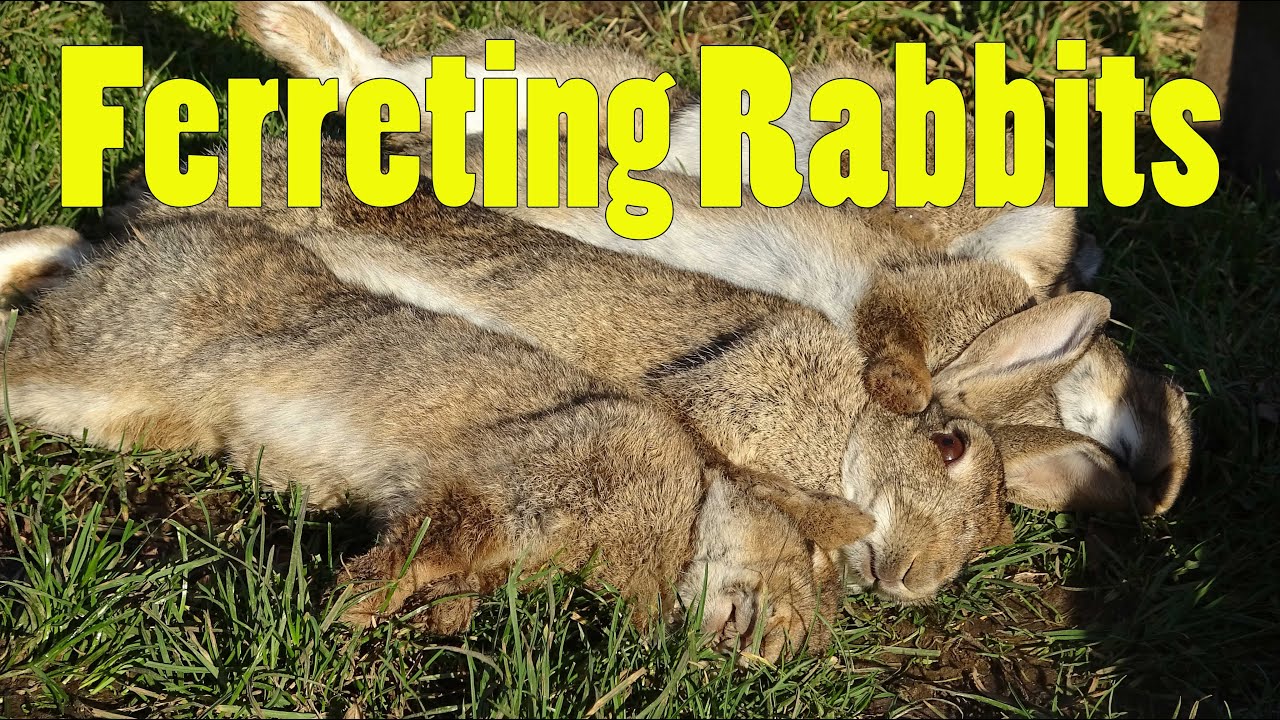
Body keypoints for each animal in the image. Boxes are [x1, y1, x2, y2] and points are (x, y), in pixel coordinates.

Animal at [0, 223, 886, 663]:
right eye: (802, 560)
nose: (776, 655)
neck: (686, 513)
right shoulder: (529, 479)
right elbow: (431, 538)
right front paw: (350, 608)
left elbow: (450, 580)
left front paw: (419, 619)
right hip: (86, 364)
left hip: (113, 414)